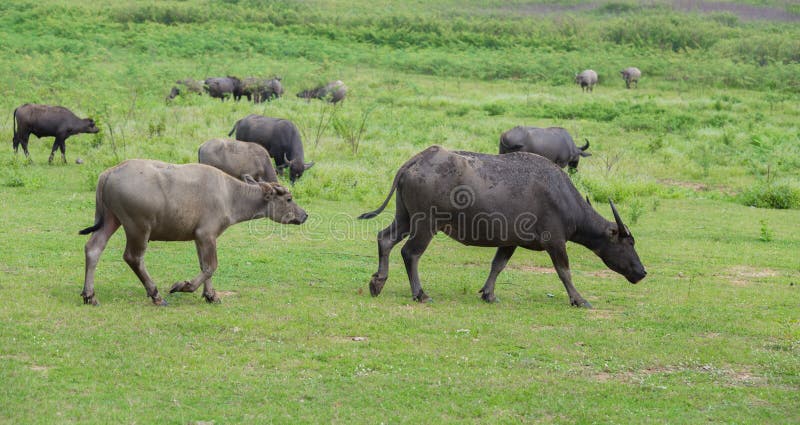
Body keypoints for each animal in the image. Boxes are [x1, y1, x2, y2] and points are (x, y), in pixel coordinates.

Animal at [79, 159, 307, 306]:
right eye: (288, 199)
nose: (304, 215)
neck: (230, 195)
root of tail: (110, 172)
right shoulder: (208, 234)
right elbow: (211, 266)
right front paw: (183, 286)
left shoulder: (199, 237)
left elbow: (204, 265)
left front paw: (211, 295)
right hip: (138, 227)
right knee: (133, 257)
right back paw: (155, 294)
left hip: (111, 219)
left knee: (94, 248)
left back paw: (90, 294)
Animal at [358, 146, 646, 307]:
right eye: (629, 242)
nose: (642, 272)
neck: (563, 198)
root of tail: (417, 160)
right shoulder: (555, 242)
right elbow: (564, 272)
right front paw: (579, 299)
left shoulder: (510, 242)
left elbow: (498, 265)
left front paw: (488, 294)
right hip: (426, 224)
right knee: (410, 253)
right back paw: (420, 293)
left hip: (405, 217)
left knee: (385, 238)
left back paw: (377, 282)